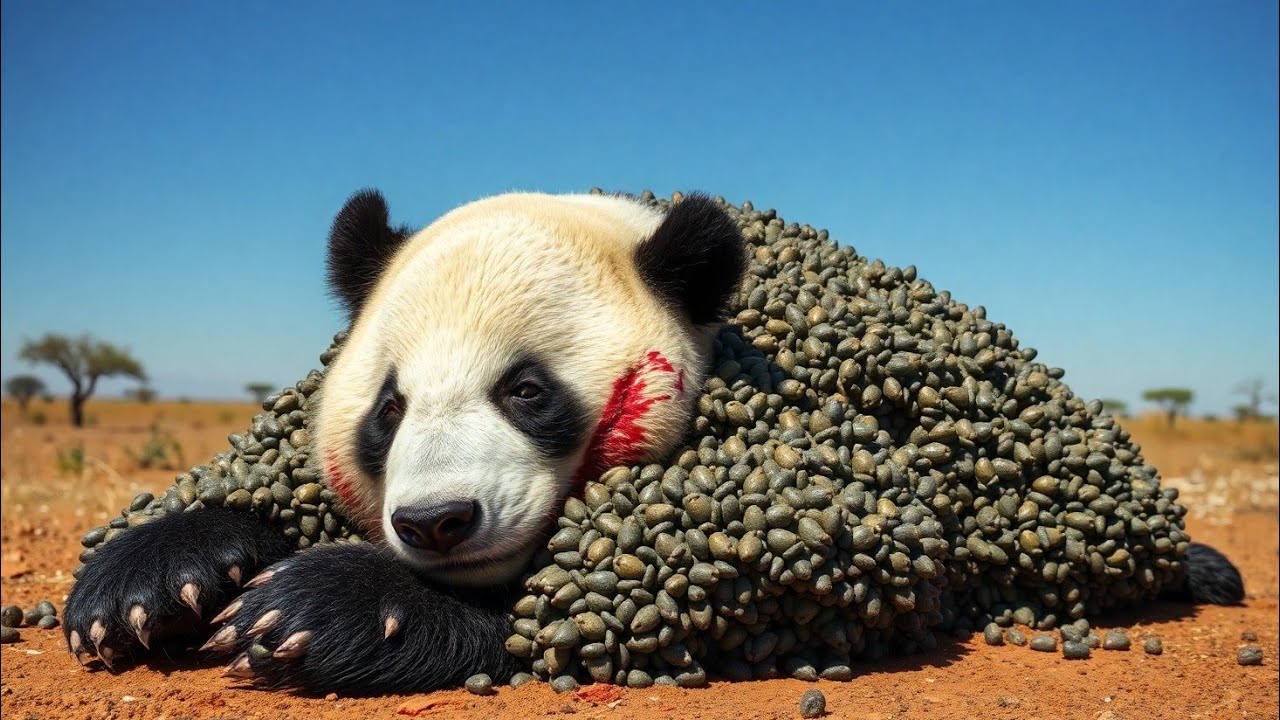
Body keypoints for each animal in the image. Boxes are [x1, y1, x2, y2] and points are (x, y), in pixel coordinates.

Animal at [62, 189, 1245, 695]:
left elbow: (820, 548)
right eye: (386, 409)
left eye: (527, 392)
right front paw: (151, 577)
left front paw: (344, 609)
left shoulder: (787, 411)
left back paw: (1203, 567)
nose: (436, 522)